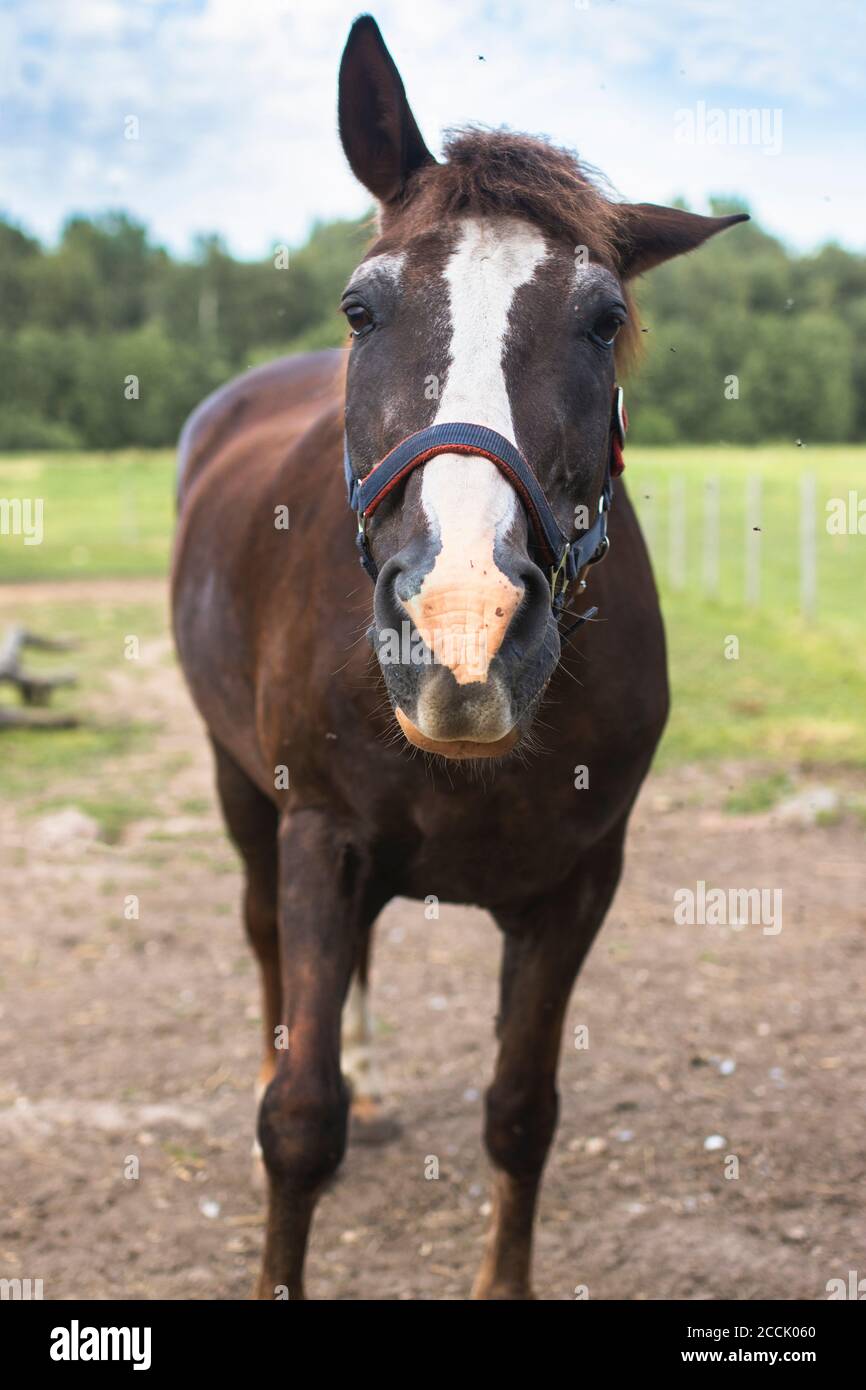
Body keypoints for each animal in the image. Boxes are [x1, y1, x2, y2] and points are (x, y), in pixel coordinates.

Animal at [171, 14, 747, 1300]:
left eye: (600, 320)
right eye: (361, 308)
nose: (462, 626)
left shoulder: (577, 882)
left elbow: (521, 1111)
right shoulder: (317, 830)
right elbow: (299, 1120)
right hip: (243, 792)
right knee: (265, 947)